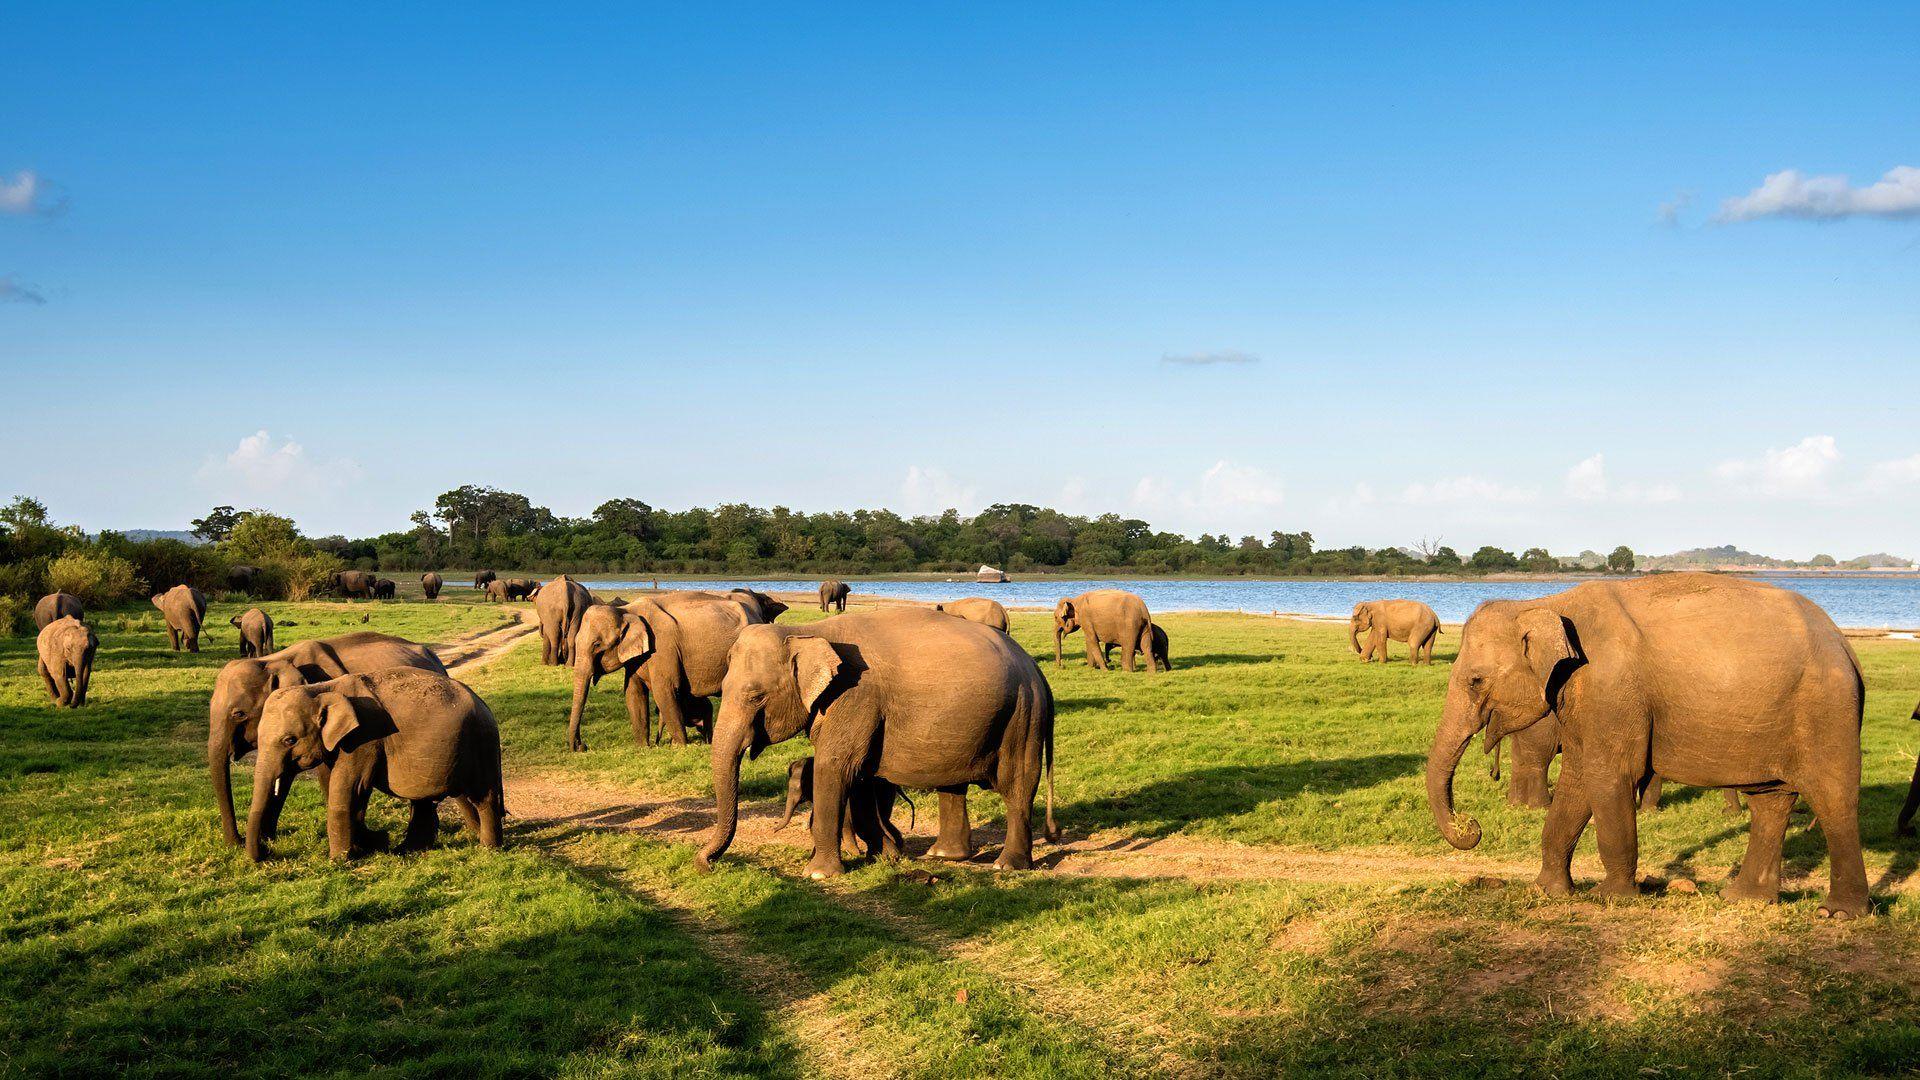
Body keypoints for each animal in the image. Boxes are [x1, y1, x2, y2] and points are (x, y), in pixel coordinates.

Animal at [207, 631, 447, 848]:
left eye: (238, 714)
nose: (237, 842)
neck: (273, 661)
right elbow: (284, 774)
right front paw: (268, 838)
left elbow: (329, 774)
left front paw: (365, 841)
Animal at [245, 669, 504, 862]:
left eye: (290, 740)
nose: (268, 850)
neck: (323, 689)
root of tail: (484, 705)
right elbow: (341, 789)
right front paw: (369, 845)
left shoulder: (364, 738)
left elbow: (349, 788)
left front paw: (339, 860)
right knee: (422, 800)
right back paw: (407, 851)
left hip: (482, 744)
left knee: (483, 797)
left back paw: (488, 849)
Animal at [565, 590, 766, 749]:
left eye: (597, 645)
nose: (582, 746)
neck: (627, 610)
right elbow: (633, 692)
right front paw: (642, 747)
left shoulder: (662, 646)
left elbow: (664, 690)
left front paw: (678, 746)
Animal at [699, 607, 1057, 879]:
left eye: (756, 697)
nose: (705, 864)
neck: (805, 631)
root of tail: (1036, 669)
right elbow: (859, 776)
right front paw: (885, 855)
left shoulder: (856, 697)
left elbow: (835, 766)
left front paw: (818, 874)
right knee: (952, 785)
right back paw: (943, 856)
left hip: (1022, 715)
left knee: (1018, 783)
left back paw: (1007, 866)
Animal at [1427, 573, 1868, 918]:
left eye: (1475, 681)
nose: (1471, 826)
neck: (1546, 603)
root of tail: (1845, 645)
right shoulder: (1582, 698)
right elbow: (1577, 779)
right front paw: (1548, 890)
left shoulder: (1611, 688)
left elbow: (1609, 776)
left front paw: (1610, 897)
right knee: (1770, 802)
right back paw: (1745, 899)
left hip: (1826, 712)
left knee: (1833, 800)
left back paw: (1837, 912)